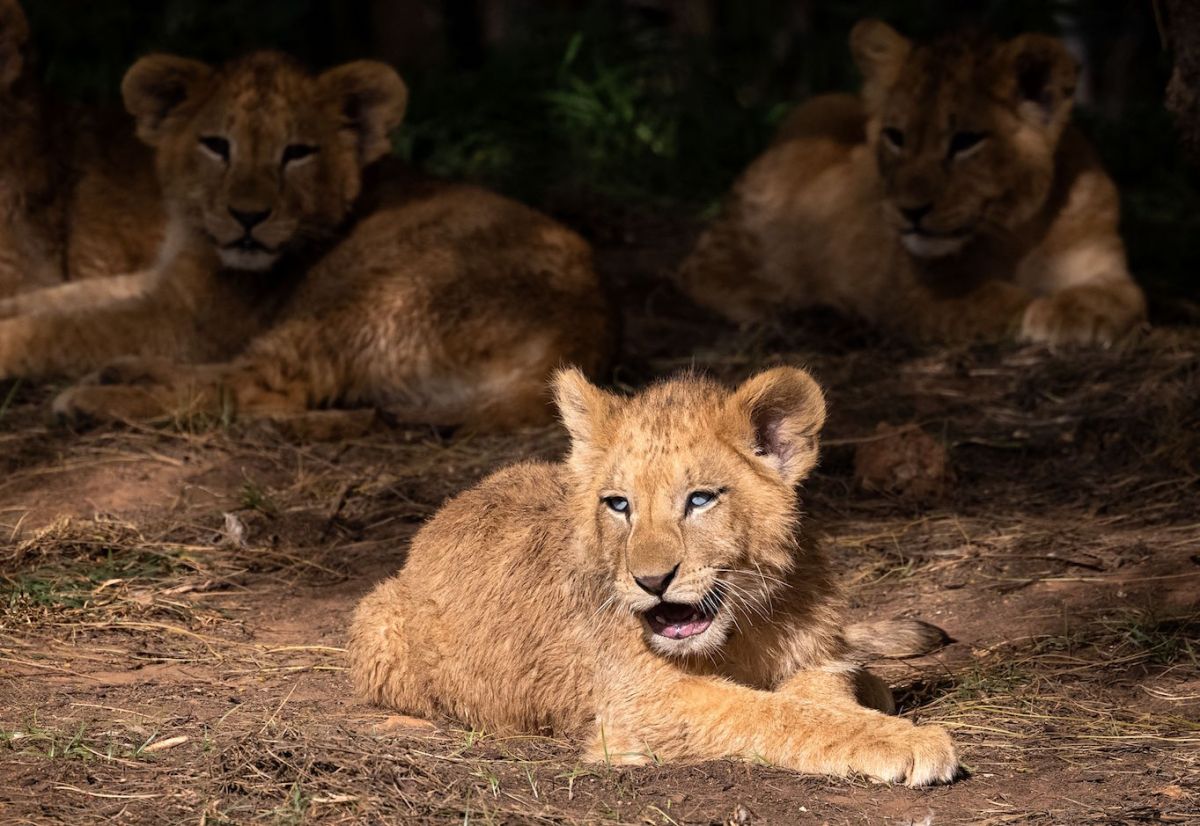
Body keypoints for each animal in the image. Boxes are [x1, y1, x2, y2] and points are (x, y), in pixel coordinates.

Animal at [0, 50, 608, 430]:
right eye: (216, 145)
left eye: (297, 153)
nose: (248, 216)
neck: (197, 235)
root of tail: (582, 339)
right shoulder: (160, 282)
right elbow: (58, 298)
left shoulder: (187, 322)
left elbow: (62, 328)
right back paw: (123, 371)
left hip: (369, 291)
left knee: (258, 388)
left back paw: (91, 398)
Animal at [349, 366, 959, 786]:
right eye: (619, 505)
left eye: (700, 499)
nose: (651, 581)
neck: (743, 631)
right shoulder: (642, 701)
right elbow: (770, 712)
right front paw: (906, 742)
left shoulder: (815, 659)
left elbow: (820, 698)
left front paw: (876, 716)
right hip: (375, 619)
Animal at [678, 20, 1146, 347]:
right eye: (895, 136)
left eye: (966, 141)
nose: (910, 211)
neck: (1019, 233)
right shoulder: (911, 296)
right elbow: (997, 300)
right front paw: (1037, 310)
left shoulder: (1104, 264)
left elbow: (1126, 298)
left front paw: (1076, 314)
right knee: (700, 264)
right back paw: (778, 303)